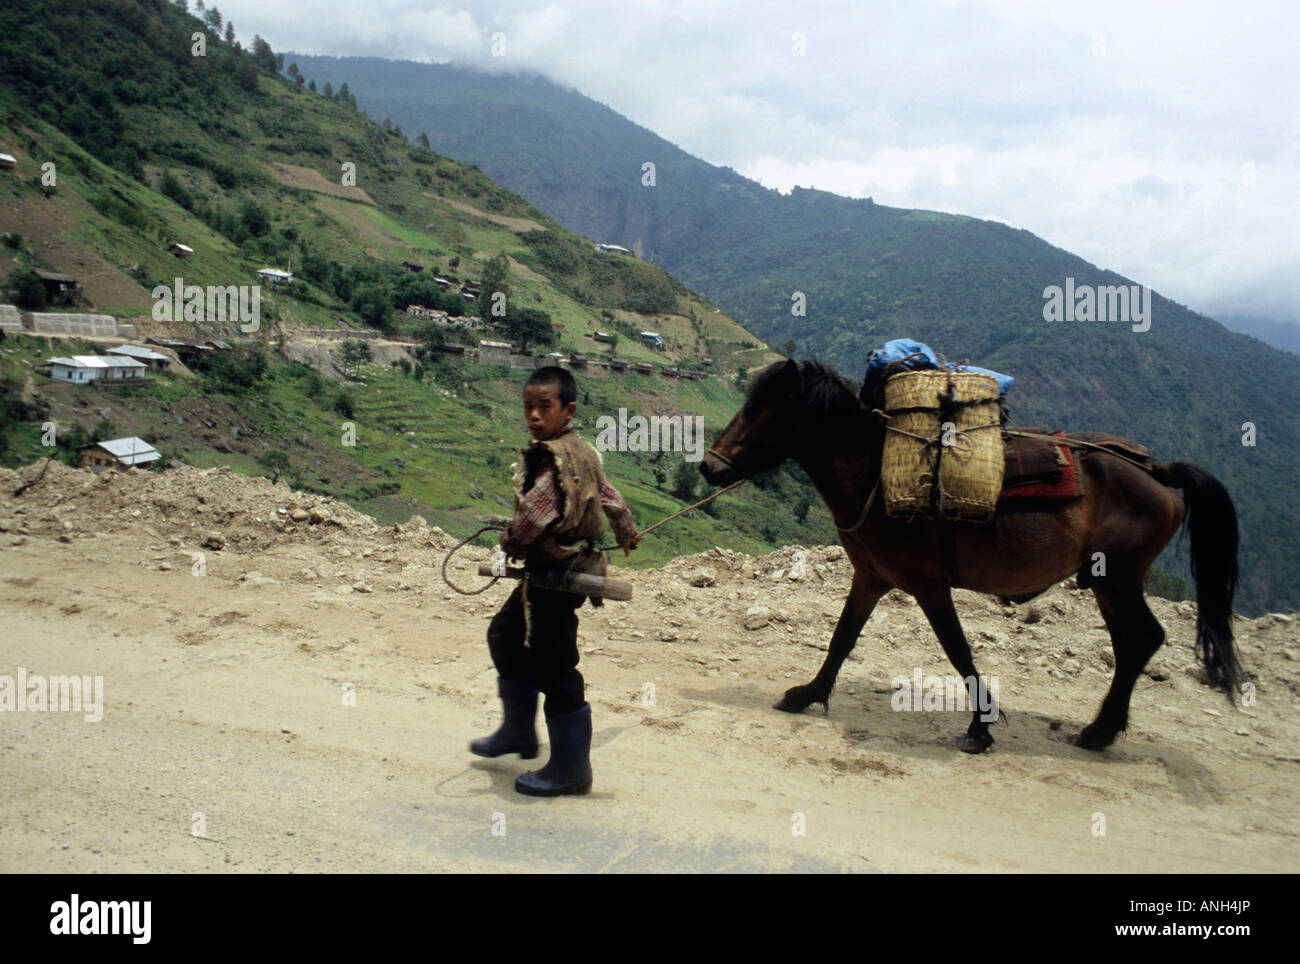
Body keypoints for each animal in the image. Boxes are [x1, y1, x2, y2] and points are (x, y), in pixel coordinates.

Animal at [699, 358, 1241, 753]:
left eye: (757, 410)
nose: (708, 466)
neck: (872, 472)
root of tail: (1157, 470)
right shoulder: (871, 577)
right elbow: (841, 640)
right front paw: (807, 695)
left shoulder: (928, 584)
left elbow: (958, 650)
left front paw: (981, 725)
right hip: (1111, 581)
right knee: (1136, 643)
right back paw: (1103, 729)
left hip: (1116, 578)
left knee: (1140, 641)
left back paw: (1099, 731)